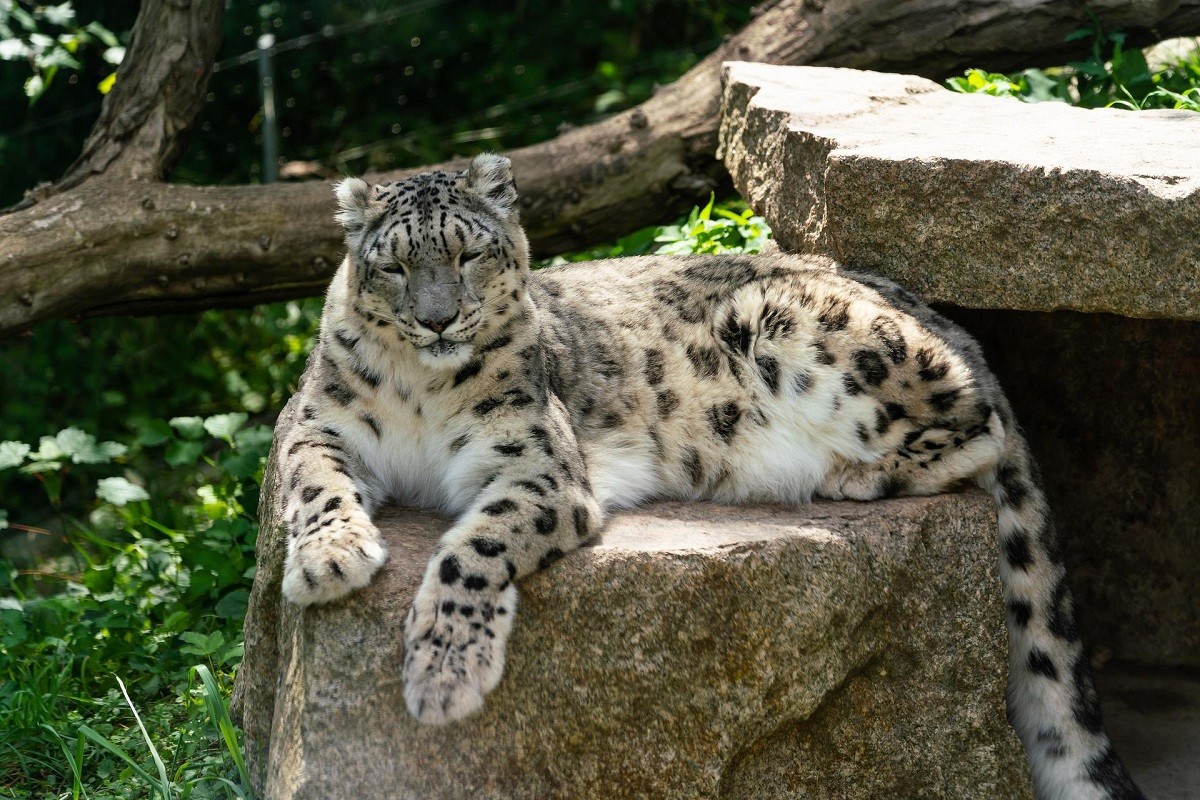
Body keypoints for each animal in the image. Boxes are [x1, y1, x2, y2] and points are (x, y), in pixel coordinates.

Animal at [275, 153, 1145, 800]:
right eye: (393, 265)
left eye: (467, 251)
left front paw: (442, 676)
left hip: (797, 324)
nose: (437, 320)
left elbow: (472, 551)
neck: (422, 391)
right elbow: (312, 483)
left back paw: (847, 474)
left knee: (981, 425)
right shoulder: (317, 423)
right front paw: (329, 558)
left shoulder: (538, 461)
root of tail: (928, 304)